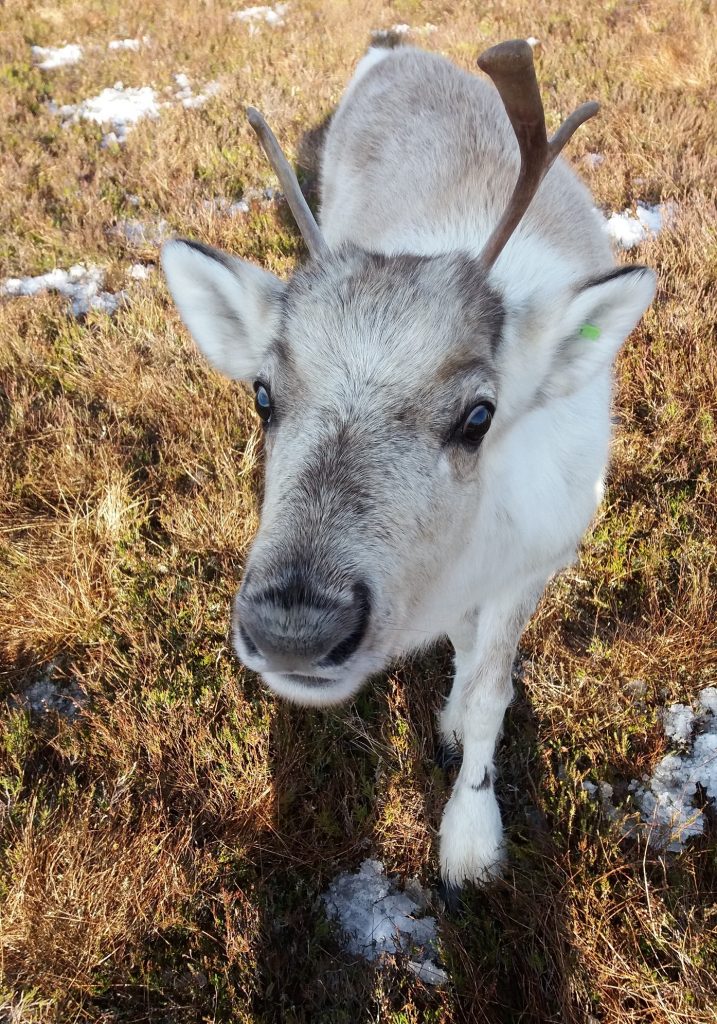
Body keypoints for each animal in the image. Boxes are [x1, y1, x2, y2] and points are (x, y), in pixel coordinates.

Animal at [161, 38, 656, 898]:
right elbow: (465, 646)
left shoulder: (534, 563)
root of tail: (397, 49)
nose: (295, 627)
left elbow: (491, 691)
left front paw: (470, 838)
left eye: (477, 416)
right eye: (262, 393)